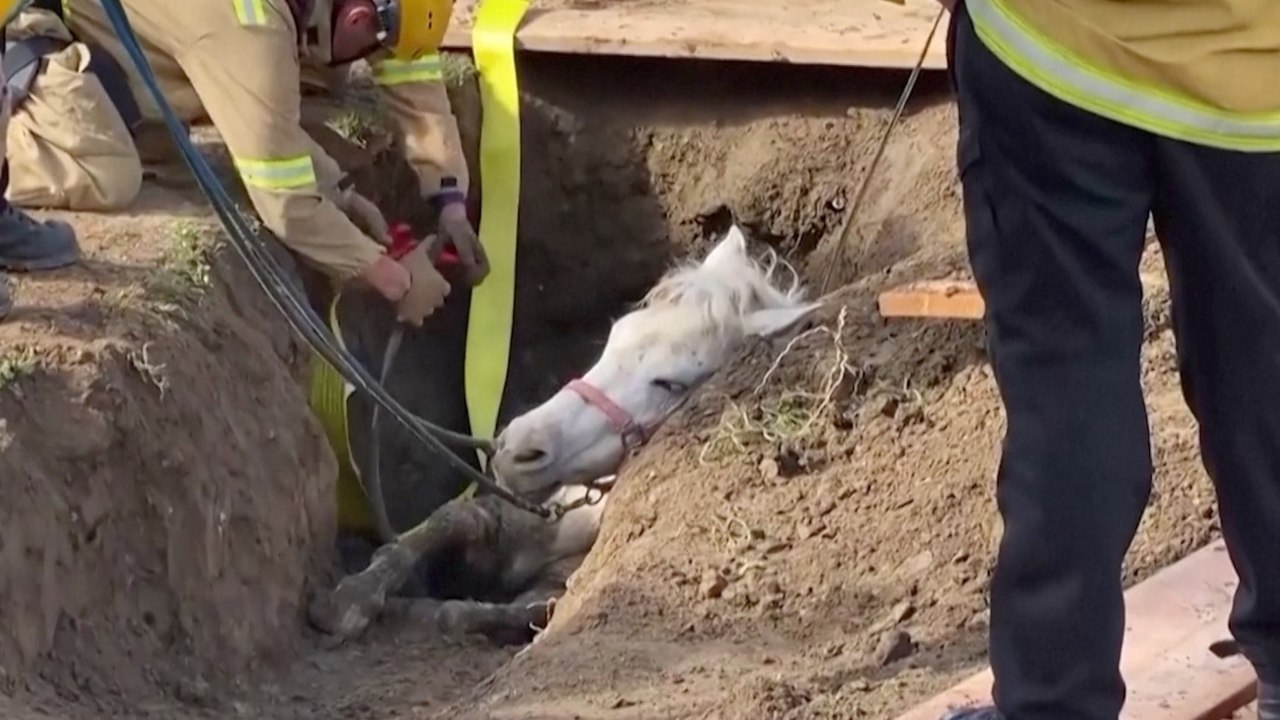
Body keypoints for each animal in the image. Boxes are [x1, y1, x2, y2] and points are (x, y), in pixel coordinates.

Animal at [308, 224, 821, 644]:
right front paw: (351, 597)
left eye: (671, 384)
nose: (517, 449)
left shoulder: (551, 582)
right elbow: (442, 523)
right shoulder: (505, 513)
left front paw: (413, 609)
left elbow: (485, 612)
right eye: (614, 336)